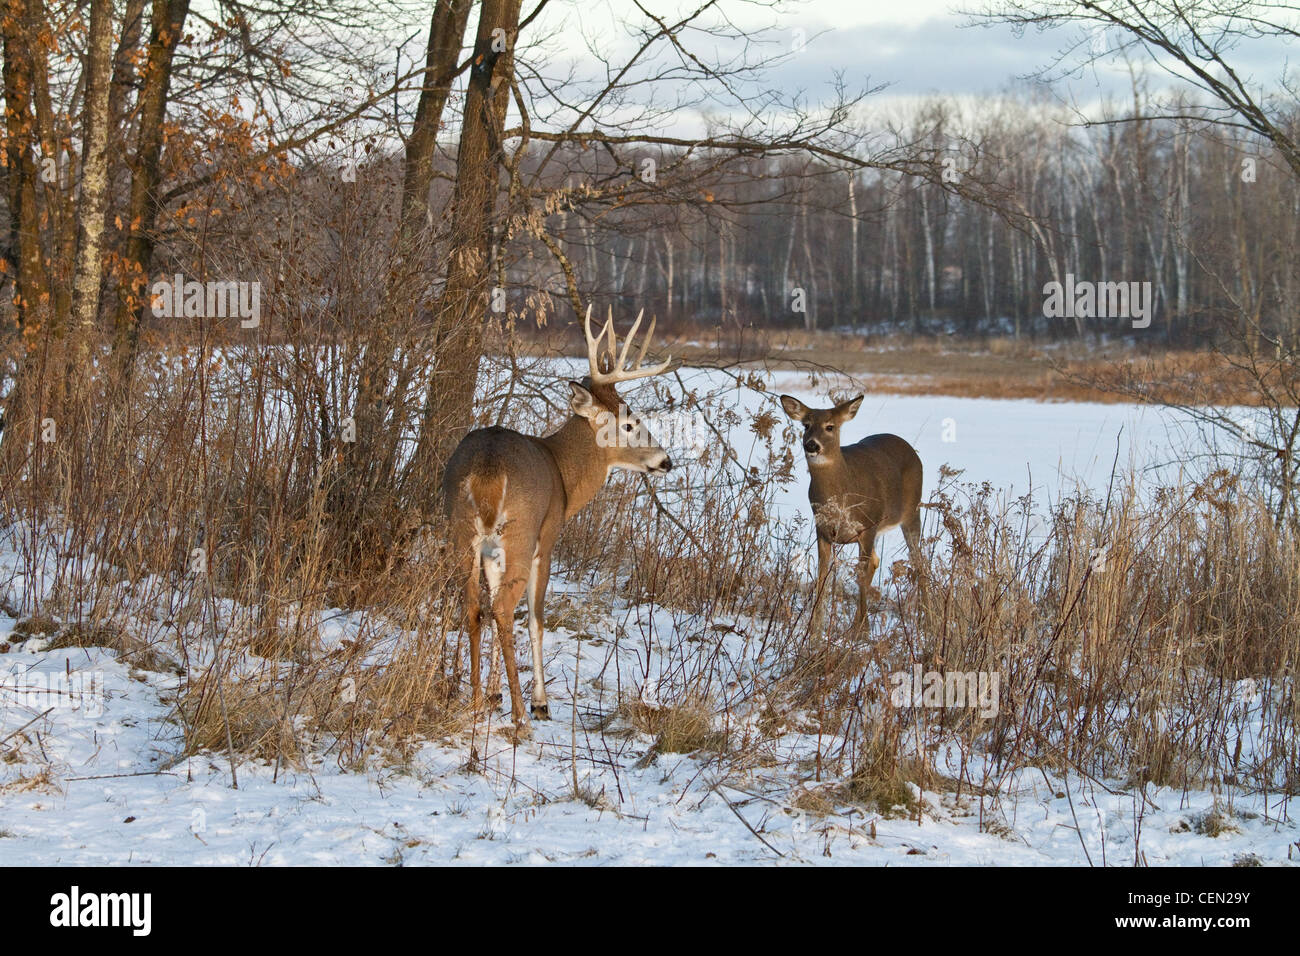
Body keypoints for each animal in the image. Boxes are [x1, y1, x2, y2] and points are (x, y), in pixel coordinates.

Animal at [442, 305, 673, 734]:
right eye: (629, 423)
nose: (666, 460)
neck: (562, 472)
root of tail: (486, 470)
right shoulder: (547, 540)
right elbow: (535, 620)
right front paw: (539, 704)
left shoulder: (490, 552)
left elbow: (493, 609)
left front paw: (496, 695)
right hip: (520, 533)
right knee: (504, 609)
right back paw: (521, 716)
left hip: (462, 533)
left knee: (473, 606)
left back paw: (477, 701)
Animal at [778, 393, 924, 628]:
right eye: (806, 425)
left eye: (830, 426)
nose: (811, 445)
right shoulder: (823, 530)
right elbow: (822, 577)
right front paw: (815, 628)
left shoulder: (868, 525)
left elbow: (860, 577)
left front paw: (862, 630)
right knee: (877, 560)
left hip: (911, 512)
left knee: (919, 562)